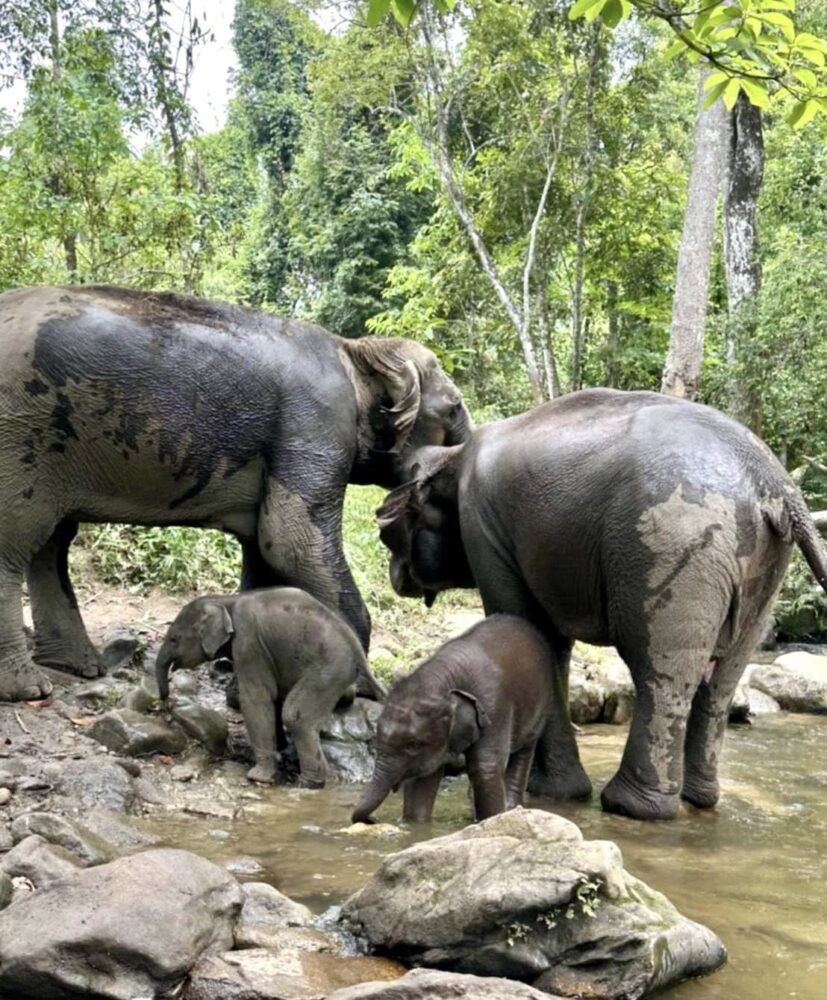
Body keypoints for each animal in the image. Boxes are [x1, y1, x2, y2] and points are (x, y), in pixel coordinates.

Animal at [0, 284, 471, 701]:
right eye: (454, 409)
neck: (356, 351)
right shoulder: (316, 424)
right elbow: (290, 542)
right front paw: (352, 685)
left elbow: (263, 548)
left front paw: (235, 669)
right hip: (21, 433)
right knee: (19, 541)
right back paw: (29, 689)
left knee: (52, 543)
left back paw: (77, 667)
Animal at [155, 587, 377, 786]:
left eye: (174, 639)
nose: (166, 702)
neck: (226, 600)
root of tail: (356, 647)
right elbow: (274, 697)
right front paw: (280, 748)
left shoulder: (249, 642)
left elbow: (256, 699)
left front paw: (258, 776)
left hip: (329, 669)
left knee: (294, 715)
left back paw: (309, 784)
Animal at [352, 614, 554, 824]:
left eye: (413, 745)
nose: (373, 819)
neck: (446, 676)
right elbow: (423, 776)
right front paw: (414, 825)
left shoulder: (494, 706)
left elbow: (485, 768)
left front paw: (491, 820)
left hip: (541, 704)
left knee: (524, 751)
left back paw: (511, 808)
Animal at [376, 388, 827, 821]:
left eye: (388, 535)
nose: (395, 576)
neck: (455, 457)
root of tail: (777, 485)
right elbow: (552, 645)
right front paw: (555, 792)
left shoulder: (483, 527)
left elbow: (526, 625)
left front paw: (549, 794)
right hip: (764, 565)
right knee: (724, 676)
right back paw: (697, 799)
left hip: (675, 545)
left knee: (658, 669)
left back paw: (630, 807)